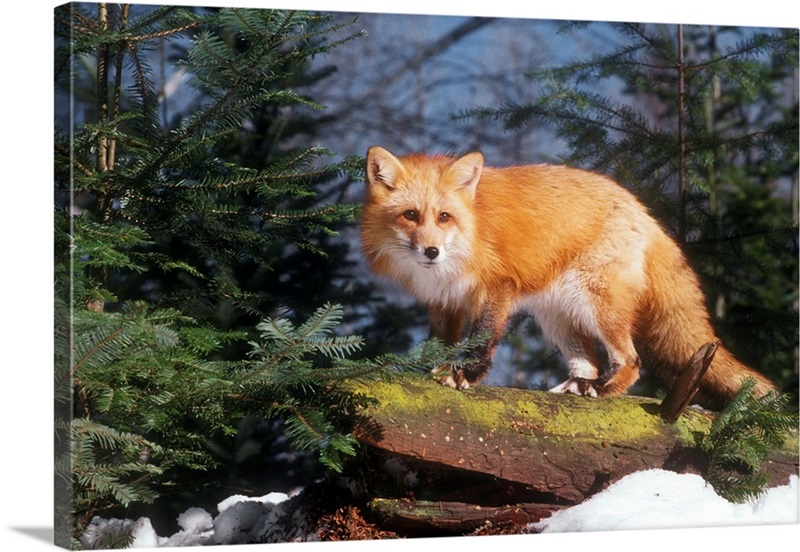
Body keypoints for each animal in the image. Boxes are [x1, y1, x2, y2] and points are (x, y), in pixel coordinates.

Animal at [360, 145, 778, 408]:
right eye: (411, 216)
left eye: (444, 217)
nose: (431, 252)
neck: (471, 231)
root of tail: (643, 211)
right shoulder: (444, 301)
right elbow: (439, 344)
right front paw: (429, 372)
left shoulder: (495, 288)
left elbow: (481, 340)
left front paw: (465, 376)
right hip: (557, 317)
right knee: (587, 363)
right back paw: (578, 386)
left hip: (595, 302)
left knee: (631, 360)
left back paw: (602, 389)